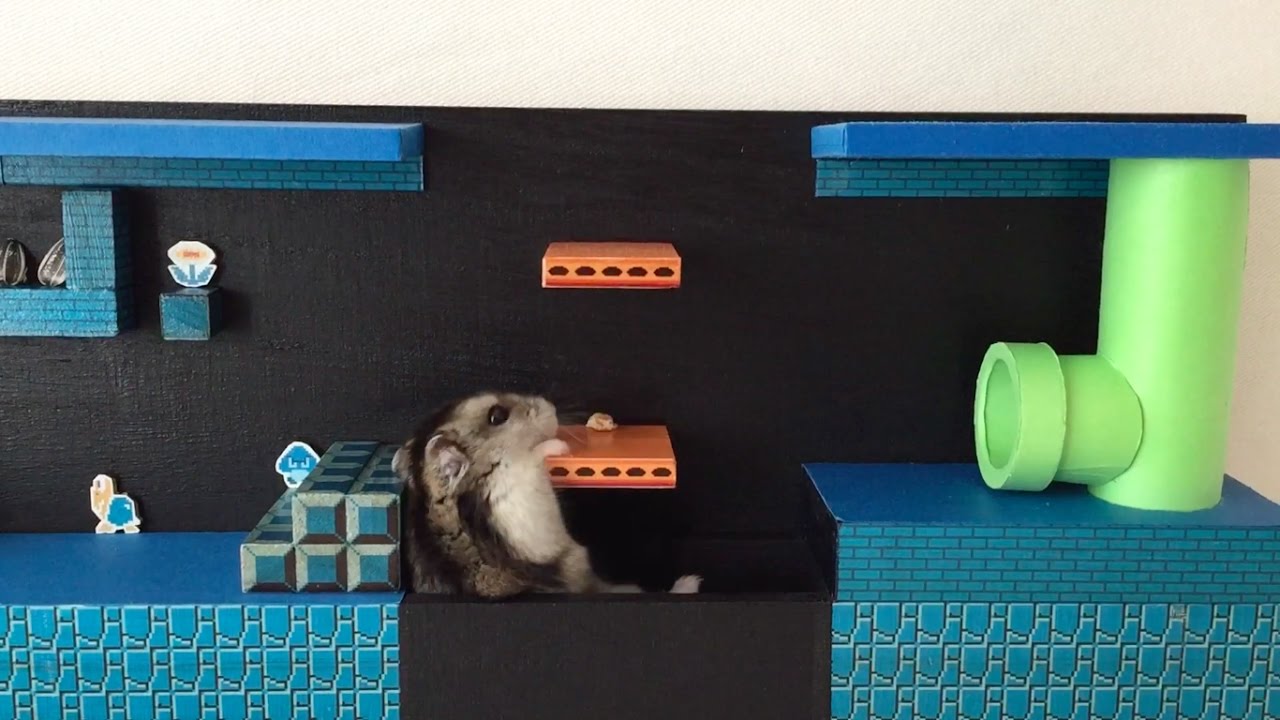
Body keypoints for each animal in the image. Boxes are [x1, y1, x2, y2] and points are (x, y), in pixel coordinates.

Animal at [394, 391, 701, 598]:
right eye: (497, 416)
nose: (550, 407)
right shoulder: (511, 498)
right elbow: (531, 460)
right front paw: (558, 447)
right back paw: (691, 582)